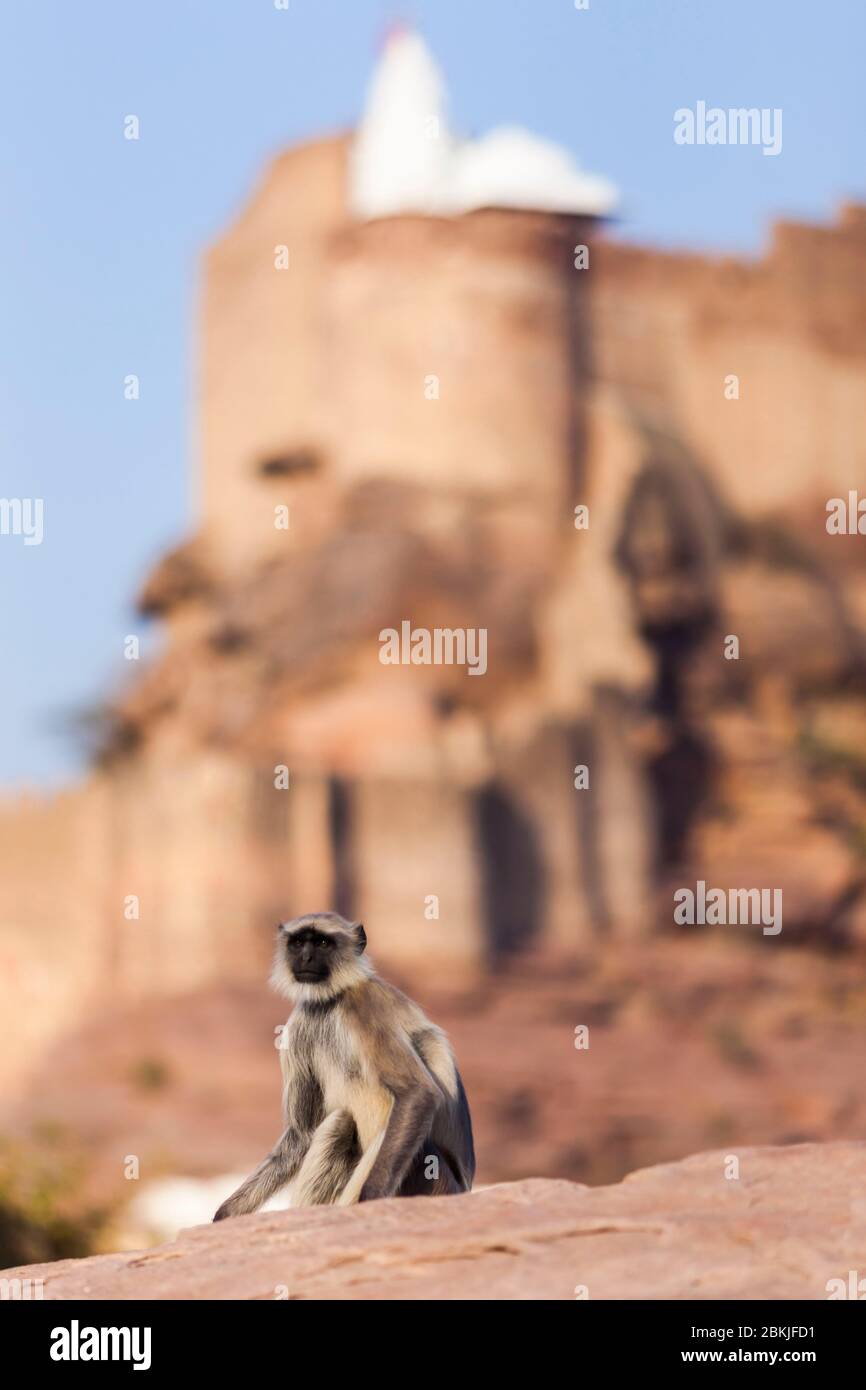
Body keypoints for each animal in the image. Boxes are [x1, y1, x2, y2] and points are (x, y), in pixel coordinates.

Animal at [213, 912, 475, 1219]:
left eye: (323, 943)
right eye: (298, 942)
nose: (306, 957)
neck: (333, 1000)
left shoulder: (364, 1007)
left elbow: (418, 1093)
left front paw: (371, 1199)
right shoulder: (302, 1022)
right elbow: (302, 1133)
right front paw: (226, 1215)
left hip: (432, 1181)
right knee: (340, 1123)